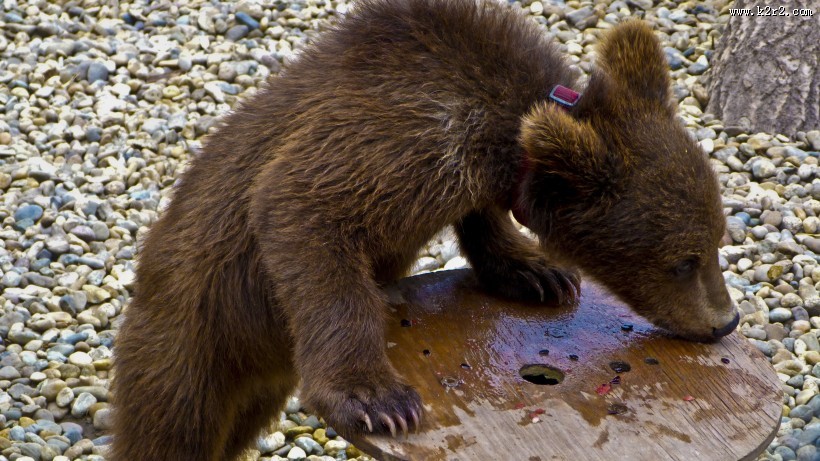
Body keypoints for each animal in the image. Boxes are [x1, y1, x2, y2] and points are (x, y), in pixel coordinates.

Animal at [110, 0, 739, 459]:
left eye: (717, 239)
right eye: (682, 261)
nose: (725, 320)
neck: (504, 133)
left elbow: (483, 220)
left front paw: (539, 272)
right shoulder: (401, 136)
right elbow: (302, 211)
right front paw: (378, 398)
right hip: (192, 330)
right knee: (171, 424)